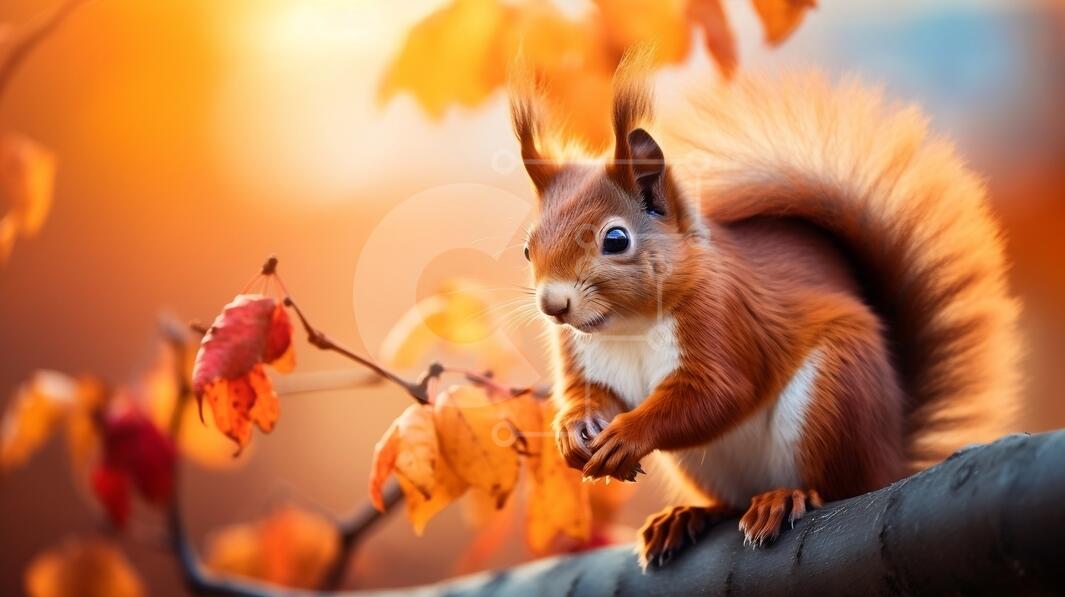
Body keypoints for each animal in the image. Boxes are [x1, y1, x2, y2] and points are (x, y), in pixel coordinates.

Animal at [510, 58, 1021, 570]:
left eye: (616, 240)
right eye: (528, 248)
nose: (553, 305)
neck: (628, 327)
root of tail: (890, 460)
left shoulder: (722, 318)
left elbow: (716, 395)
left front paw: (627, 435)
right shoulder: (581, 353)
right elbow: (590, 394)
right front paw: (572, 431)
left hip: (833, 398)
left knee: (834, 485)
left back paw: (787, 497)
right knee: (729, 501)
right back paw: (688, 516)